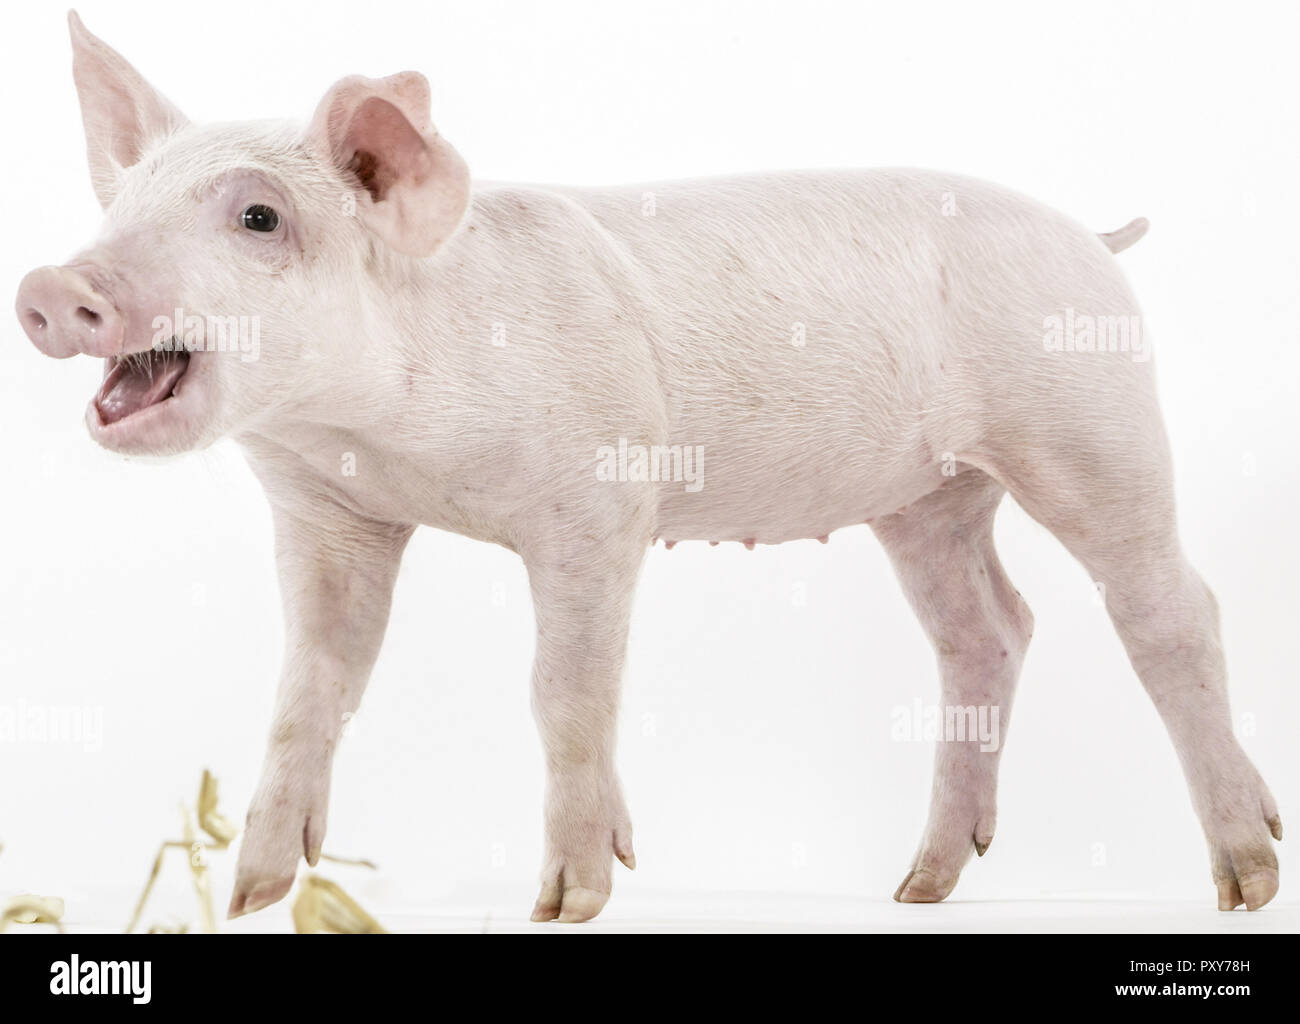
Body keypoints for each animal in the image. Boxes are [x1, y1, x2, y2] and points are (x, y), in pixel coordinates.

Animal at [15, 12, 1281, 922]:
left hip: (1089, 418)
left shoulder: (598, 499)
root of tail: (1092, 237)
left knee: (1172, 606)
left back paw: (1246, 878)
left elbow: (566, 687)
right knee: (990, 626)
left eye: (259, 218)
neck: (386, 439)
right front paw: (254, 895)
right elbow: (310, 688)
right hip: (930, 493)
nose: (50, 283)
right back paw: (918, 886)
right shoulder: (327, 512)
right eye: (122, 204)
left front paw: (568, 900)